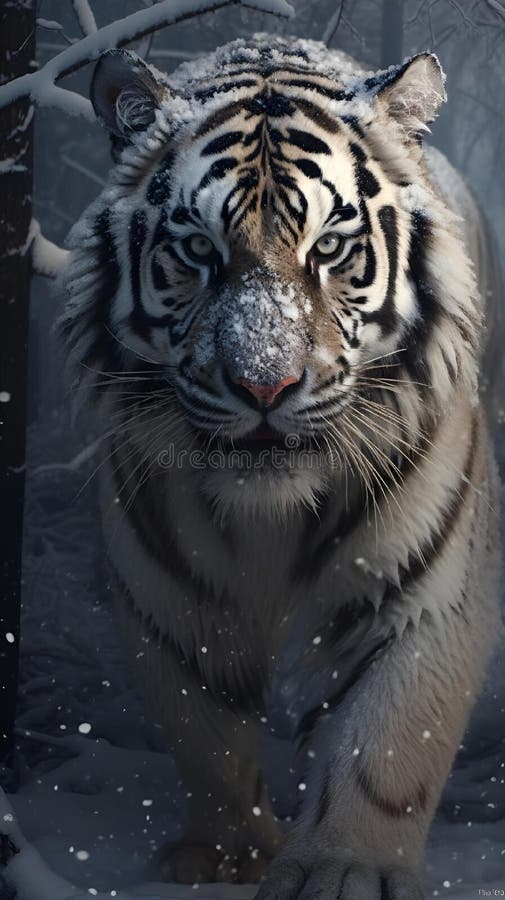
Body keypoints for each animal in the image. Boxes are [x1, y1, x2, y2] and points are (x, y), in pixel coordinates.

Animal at [59, 34, 501, 900]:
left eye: (328, 248)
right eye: (198, 250)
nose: (264, 385)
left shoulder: (423, 586)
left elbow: (385, 739)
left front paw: (345, 870)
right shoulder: (167, 595)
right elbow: (202, 727)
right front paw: (224, 857)